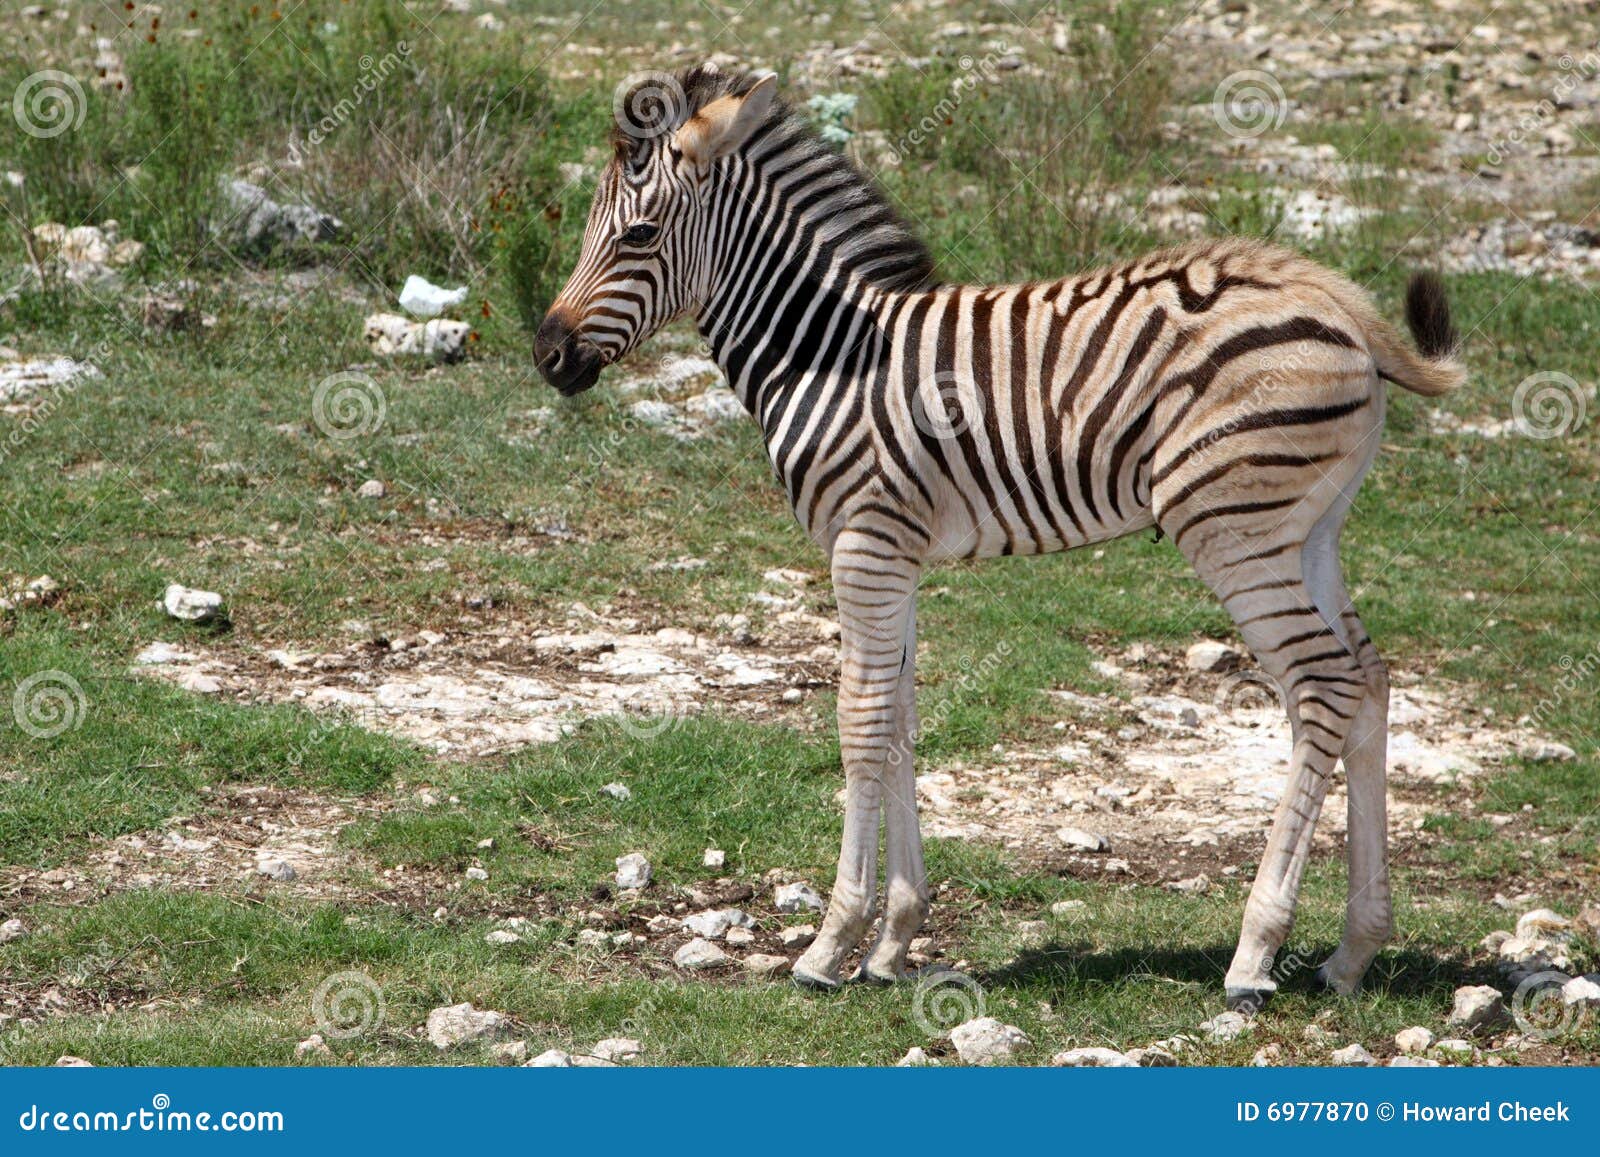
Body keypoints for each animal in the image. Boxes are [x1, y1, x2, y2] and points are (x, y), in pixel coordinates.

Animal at [534, 66, 1465, 1009]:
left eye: (641, 233)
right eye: (590, 225)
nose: (547, 355)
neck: (828, 354)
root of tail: (1335, 300)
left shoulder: (864, 542)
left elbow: (860, 719)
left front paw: (830, 944)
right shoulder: (895, 552)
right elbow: (900, 714)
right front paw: (894, 938)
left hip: (1233, 526)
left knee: (1321, 686)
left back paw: (1254, 953)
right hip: (1308, 528)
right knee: (1369, 680)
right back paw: (1353, 950)